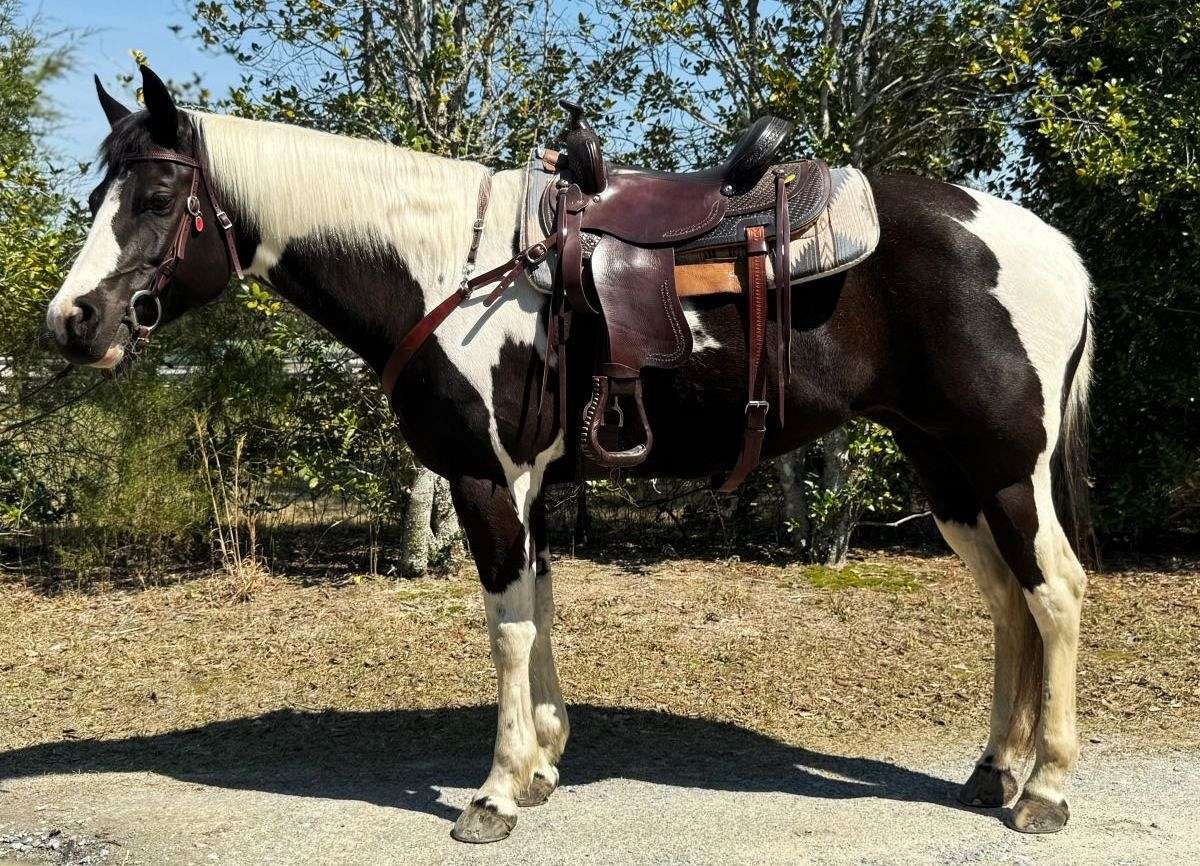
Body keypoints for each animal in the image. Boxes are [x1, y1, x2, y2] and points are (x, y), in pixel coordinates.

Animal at [45, 66, 1093, 844]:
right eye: (98, 192)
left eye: (158, 196)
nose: (72, 321)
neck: (451, 265)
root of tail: (1054, 248)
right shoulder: (533, 484)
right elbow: (540, 608)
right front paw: (545, 760)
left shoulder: (487, 477)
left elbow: (506, 626)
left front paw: (497, 791)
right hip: (948, 470)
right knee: (1007, 603)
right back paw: (994, 771)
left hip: (1007, 467)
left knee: (1055, 594)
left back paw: (1044, 791)